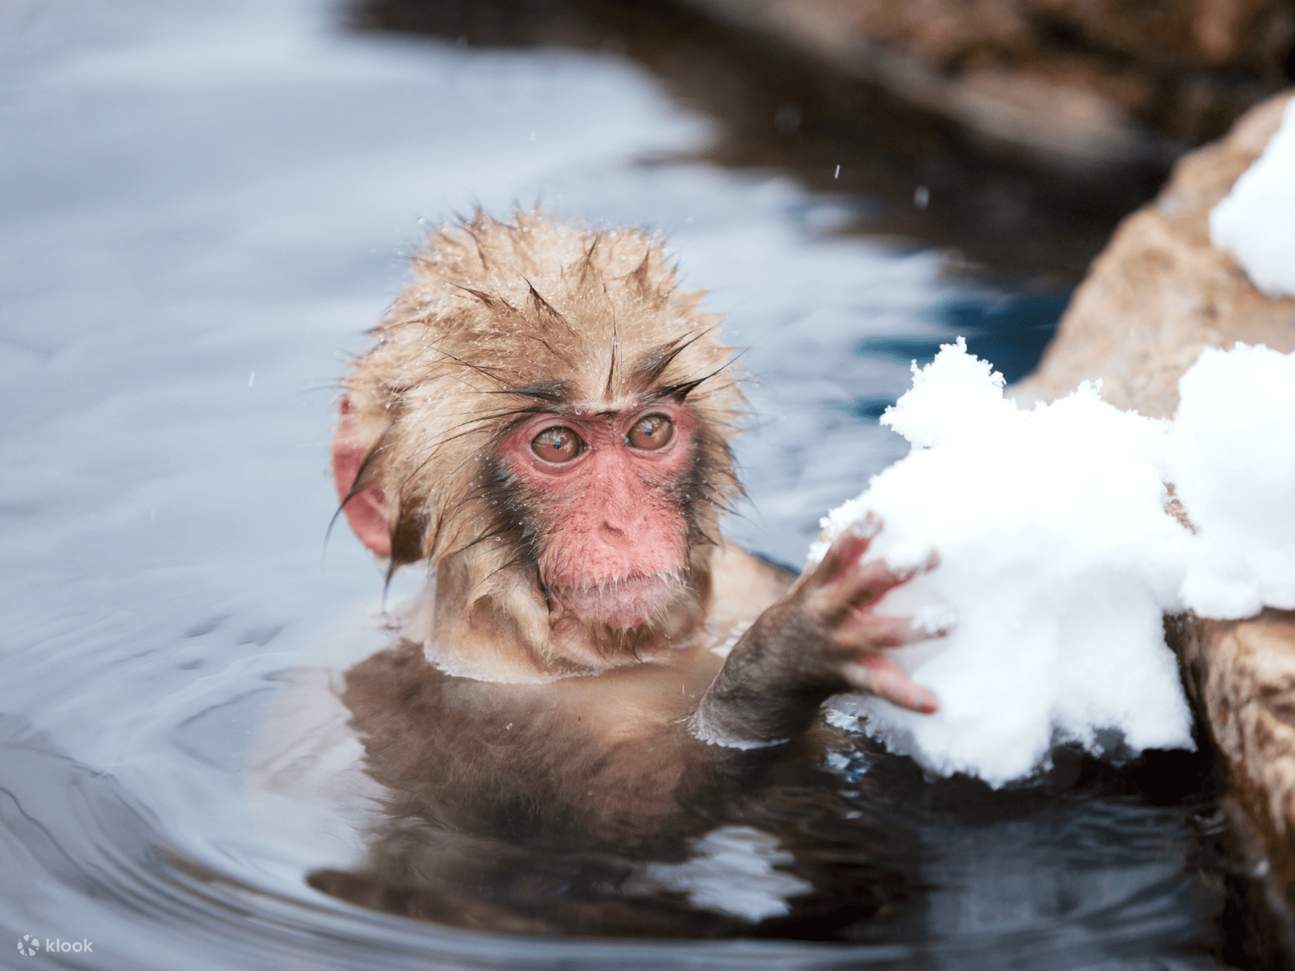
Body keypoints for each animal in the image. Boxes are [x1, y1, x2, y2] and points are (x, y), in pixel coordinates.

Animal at [314, 210, 942, 934]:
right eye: (557, 443)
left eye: (648, 431)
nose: (624, 523)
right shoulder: (476, 706)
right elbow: (631, 817)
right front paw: (785, 659)